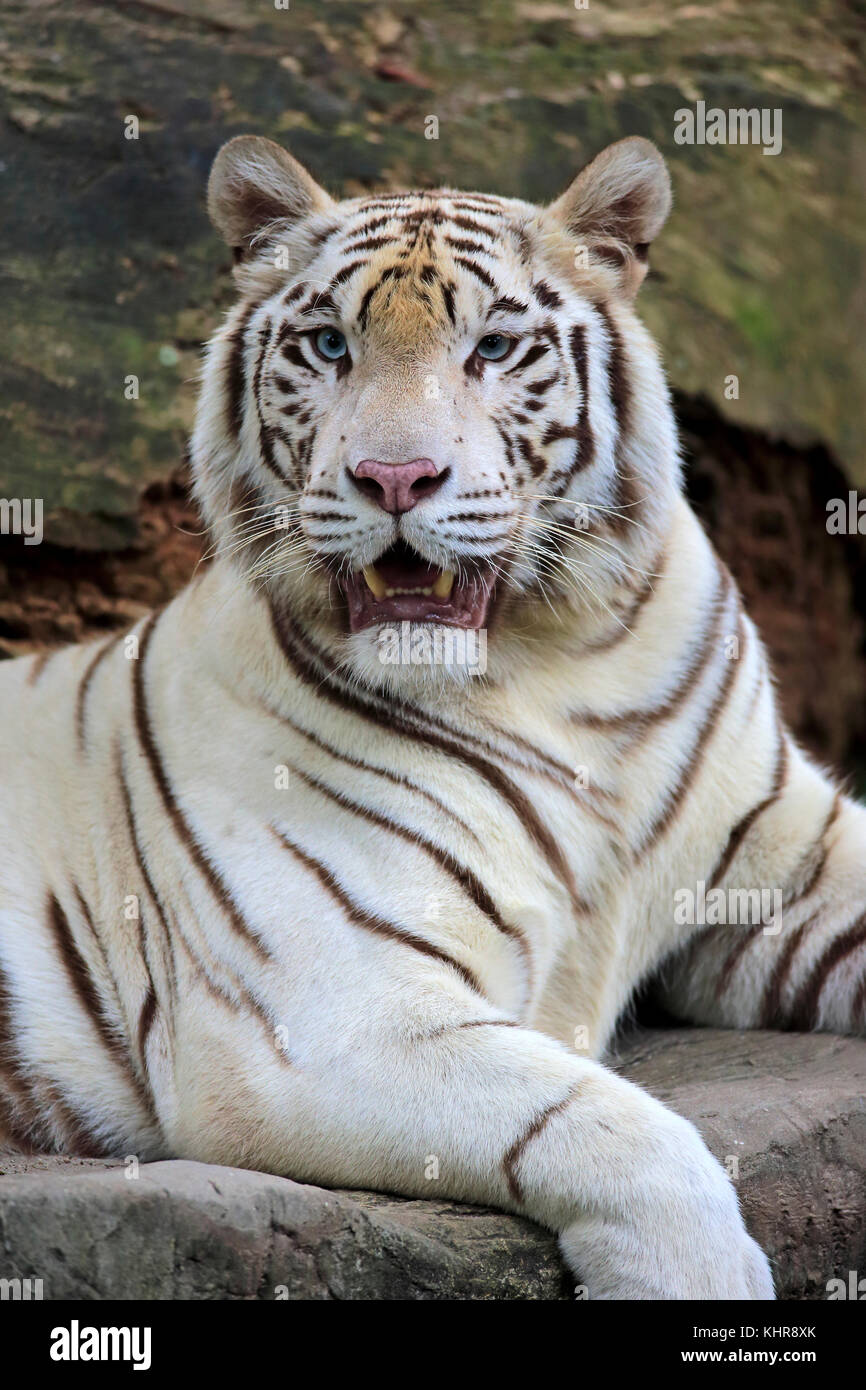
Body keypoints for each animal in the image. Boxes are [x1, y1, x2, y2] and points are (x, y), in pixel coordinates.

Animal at [2, 132, 864, 1301]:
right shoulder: (329, 1016)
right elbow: (613, 1128)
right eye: (329, 346)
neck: (556, 663)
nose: (395, 477)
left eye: (493, 348)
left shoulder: (785, 863)